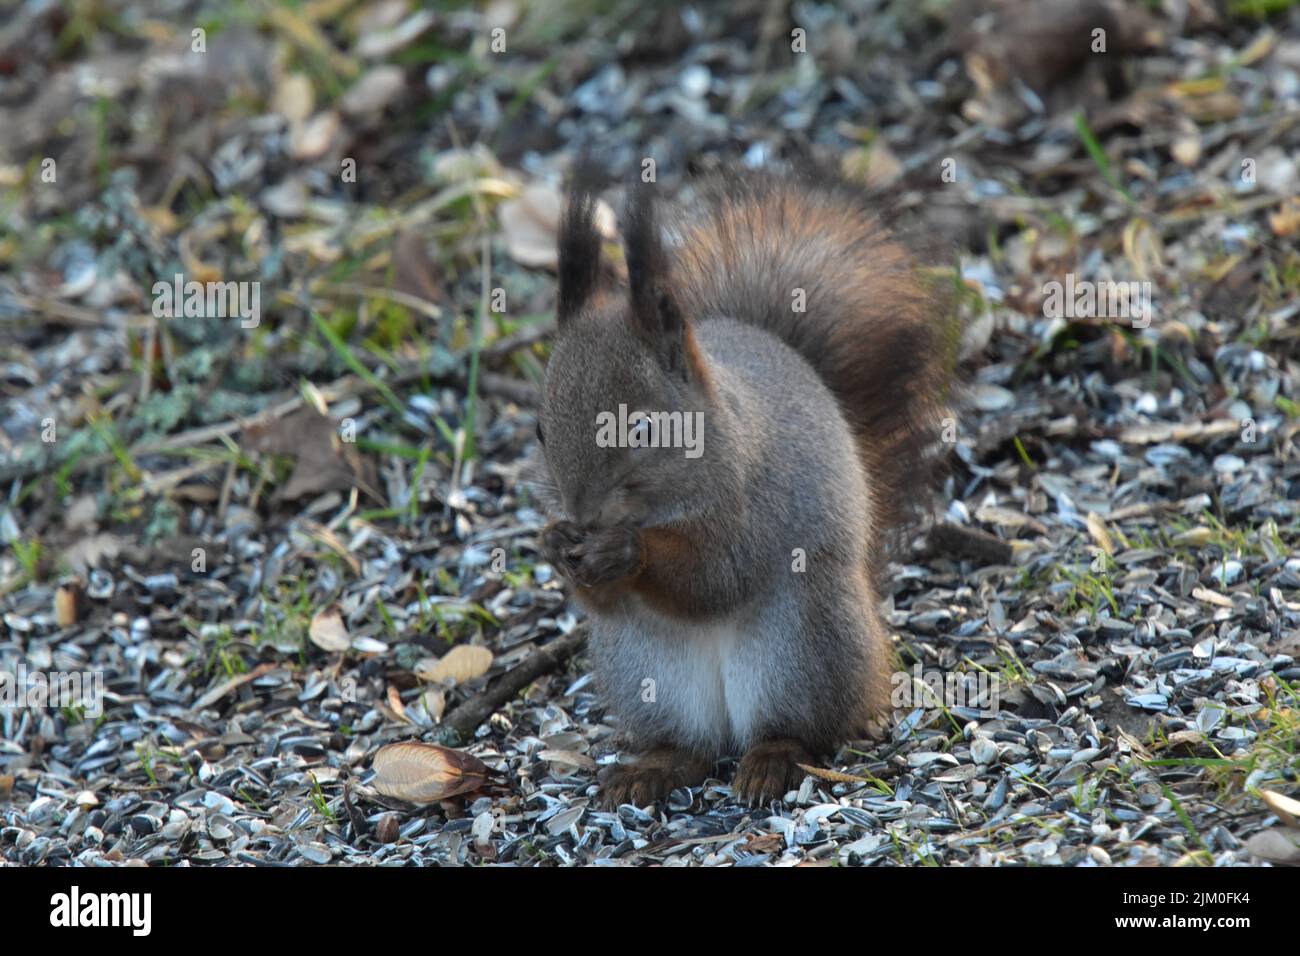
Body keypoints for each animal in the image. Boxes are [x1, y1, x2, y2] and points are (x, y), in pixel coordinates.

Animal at [532, 167, 960, 806]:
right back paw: (653, 767)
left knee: (798, 730)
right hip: (644, 669)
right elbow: (604, 599)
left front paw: (626, 551)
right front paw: (555, 544)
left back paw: (771, 760)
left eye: (642, 427)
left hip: (803, 642)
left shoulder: (757, 503)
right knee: (690, 748)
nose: (582, 517)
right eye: (539, 428)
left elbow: (717, 575)